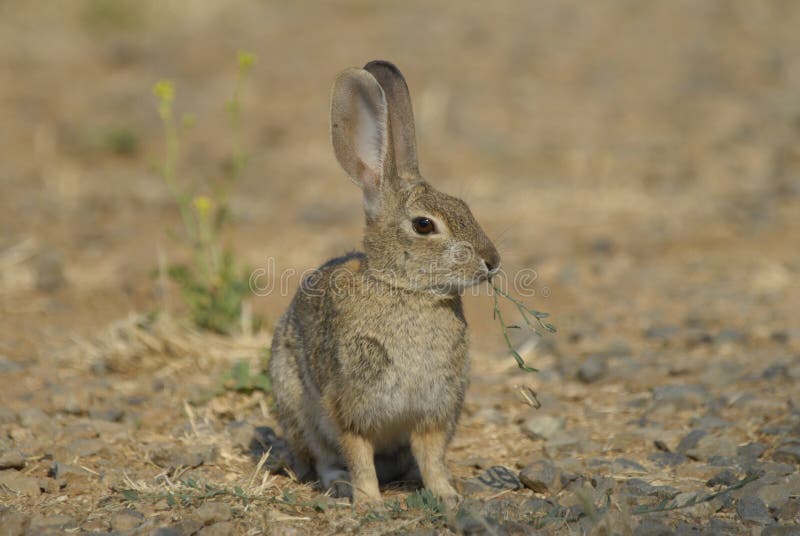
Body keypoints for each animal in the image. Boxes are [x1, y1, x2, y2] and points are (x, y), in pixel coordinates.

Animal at [268, 60, 500, 506]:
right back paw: (339, 484)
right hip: (296, 405)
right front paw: (369, 501)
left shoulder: (434, 411)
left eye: (464, 207)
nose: (492, 262)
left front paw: (446, 495)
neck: (404, 291)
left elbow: (432, 457)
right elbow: (358, 454)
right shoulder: (350, 406)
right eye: (424, 225)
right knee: (322, 457)